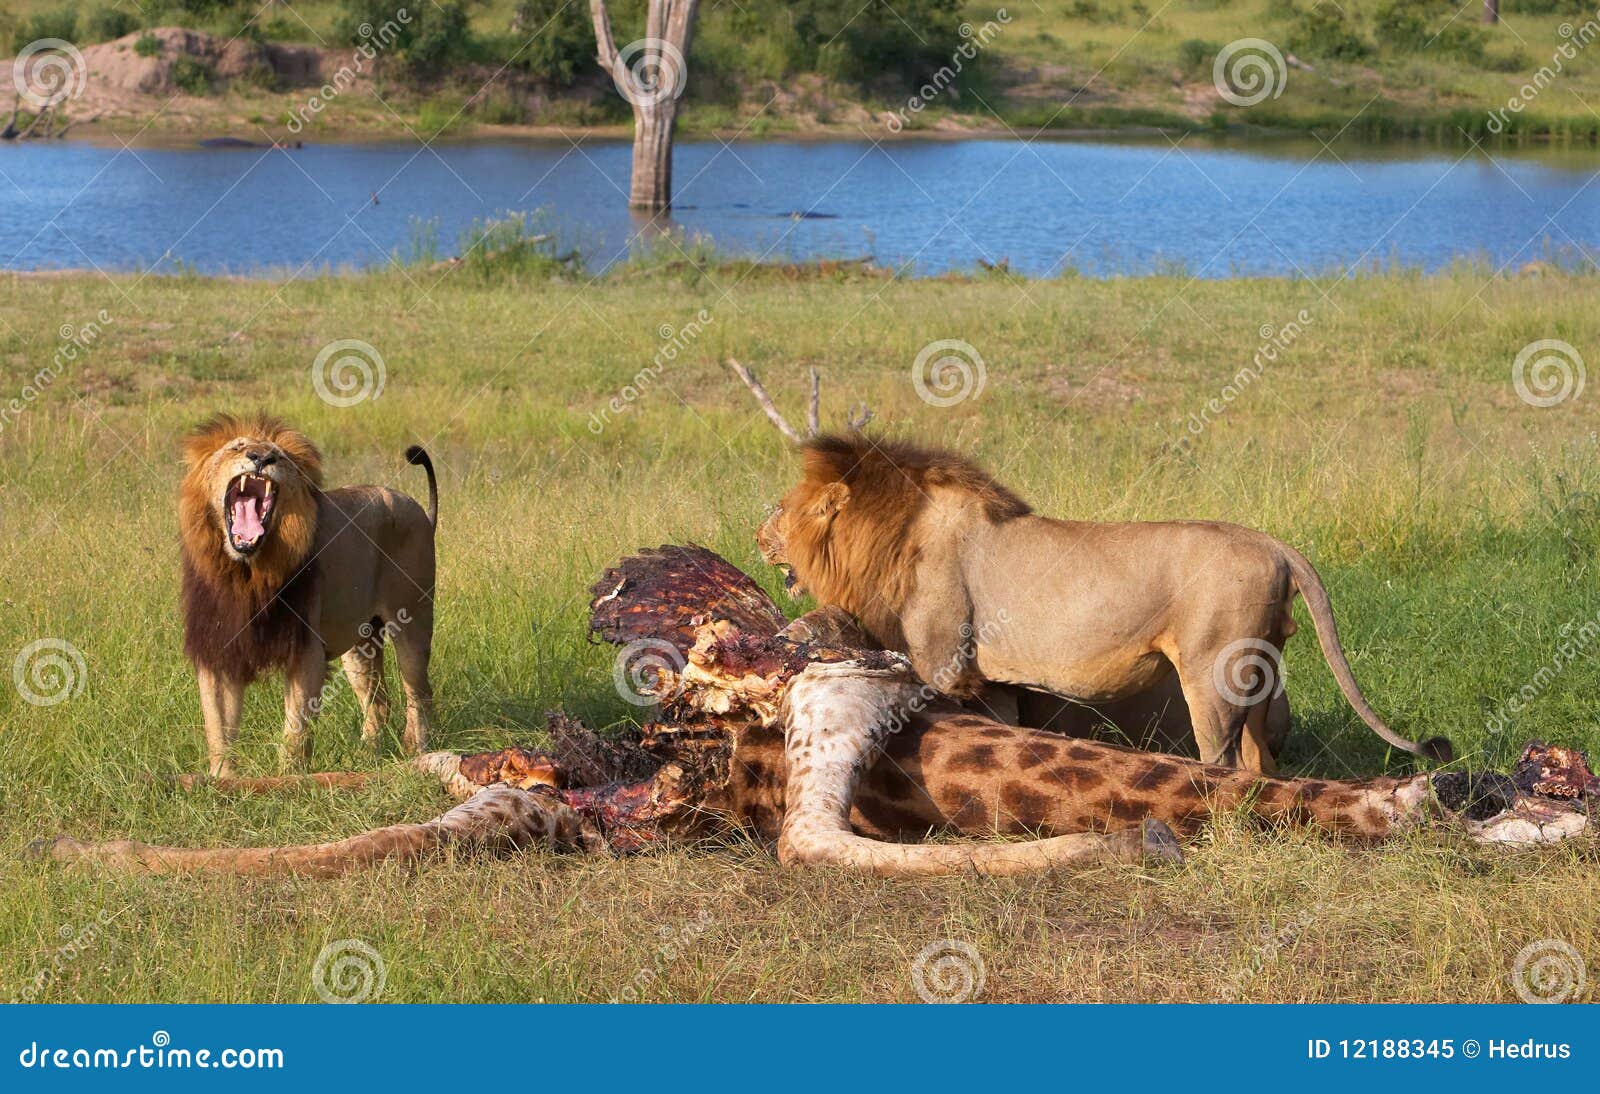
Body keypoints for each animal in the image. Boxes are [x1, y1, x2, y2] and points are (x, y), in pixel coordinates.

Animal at [179, 413, 439, 776]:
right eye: (237, 447)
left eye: (278, 455)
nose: (261, 458)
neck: (248, 573)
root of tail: (420, 512)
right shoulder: (219, 650)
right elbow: (218, 729)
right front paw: (222, 779)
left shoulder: (306, 650)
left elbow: (296, 728)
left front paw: (289, 778)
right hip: (360, 644)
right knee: (379, 702)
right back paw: (366, 756)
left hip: (413, 620)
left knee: (419, 693)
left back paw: (415, 750)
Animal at [757, 434, 1451, 774]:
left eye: (784, 509)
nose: (757, 531)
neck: (895, 532)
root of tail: (1275, 544)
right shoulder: (990, 680)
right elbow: (1004, 733)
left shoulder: (945, 666)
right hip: (1260, 669)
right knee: (1259, 757)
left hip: (1213, 671)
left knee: (1224, 756)